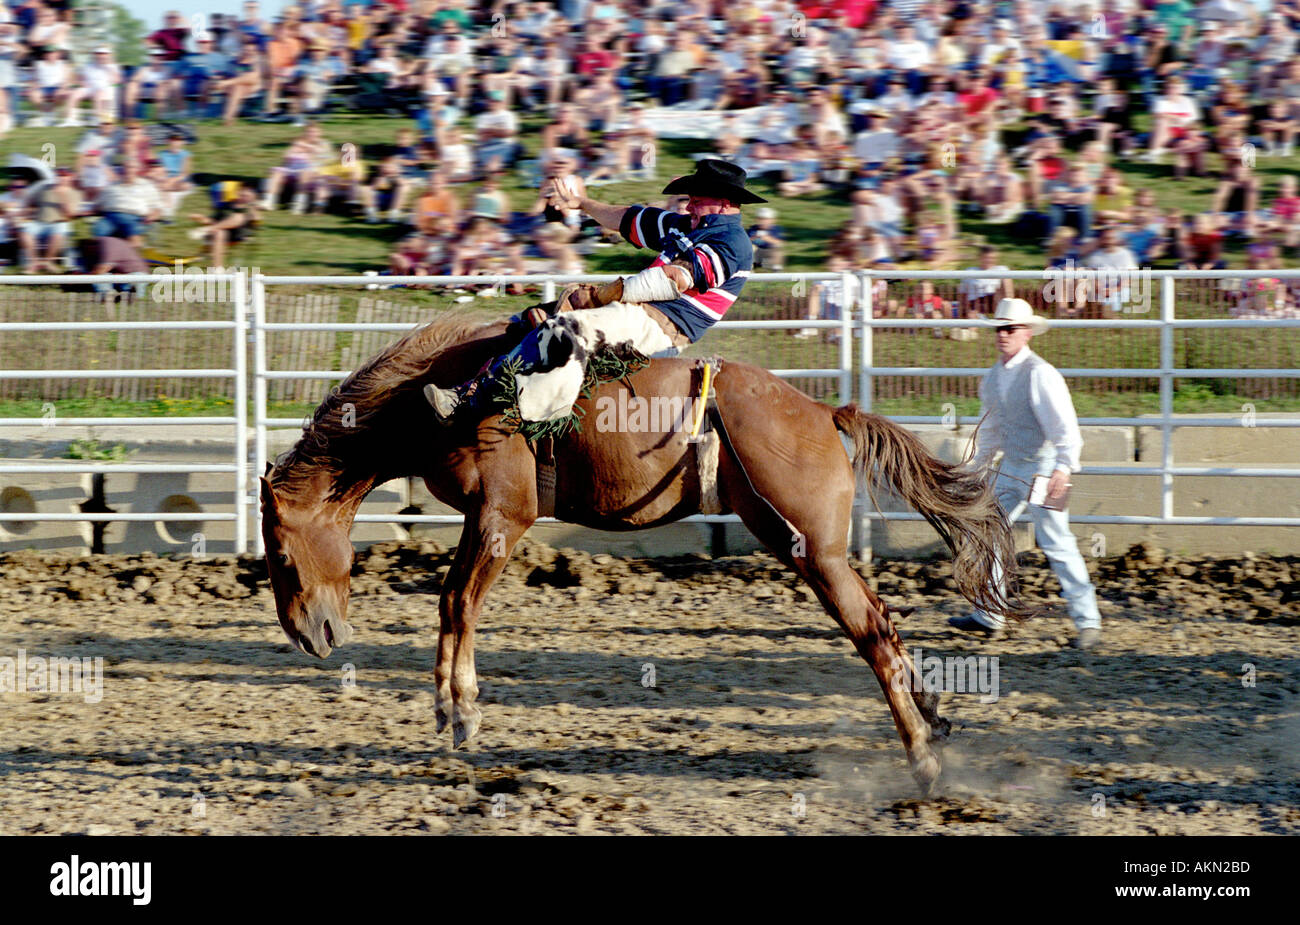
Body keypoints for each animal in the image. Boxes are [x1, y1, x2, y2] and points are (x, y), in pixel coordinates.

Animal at [259, 314, 1027, 793]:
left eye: (284, 558)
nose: (313, 637)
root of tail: (822, 411)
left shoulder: (503, 516)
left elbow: (456, 603)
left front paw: (461, 711)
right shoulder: (489, 521)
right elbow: (454, 604)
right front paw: (453, 711)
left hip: (815, 551)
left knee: (869, 630)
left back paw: (922, 759)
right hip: (801, 544)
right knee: (883, 623)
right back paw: (934, 718)